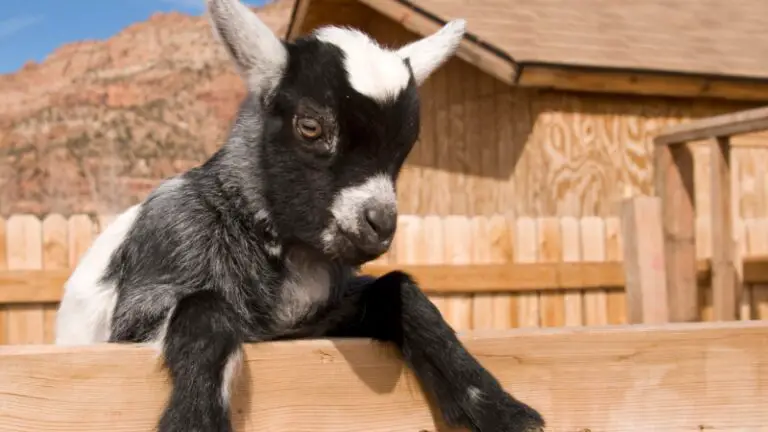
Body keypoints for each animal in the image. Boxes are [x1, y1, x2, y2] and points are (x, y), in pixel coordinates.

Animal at [54, 0, 545, 431]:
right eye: (311, 126)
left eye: (406, 147)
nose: (380, 224)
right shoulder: (150, 290)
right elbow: (205, 312)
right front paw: (192, 419)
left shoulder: (308, 327)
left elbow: (402, 292)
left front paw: (501, 410)